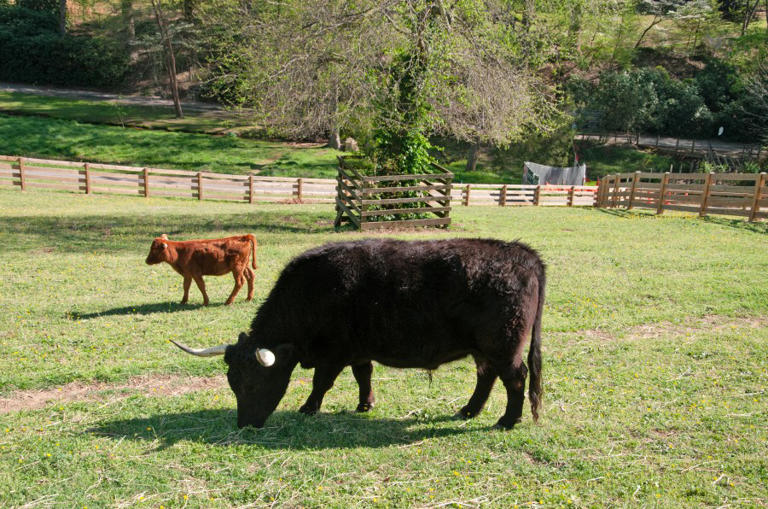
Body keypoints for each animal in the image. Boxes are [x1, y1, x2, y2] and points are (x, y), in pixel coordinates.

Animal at [171, 238, 545, 429]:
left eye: (251, 384)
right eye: (232, 382)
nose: (244, 425)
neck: (313, 290)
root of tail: (521, 253)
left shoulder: (334, 353)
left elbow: (322, 382)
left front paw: (308, 408)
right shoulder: (358, 350)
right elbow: (364, 375)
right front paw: (365, 404)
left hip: (503, 345)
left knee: (515, 378)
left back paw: (507, 420)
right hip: (485, 348)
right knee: (487, 377)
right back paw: (469, 411)